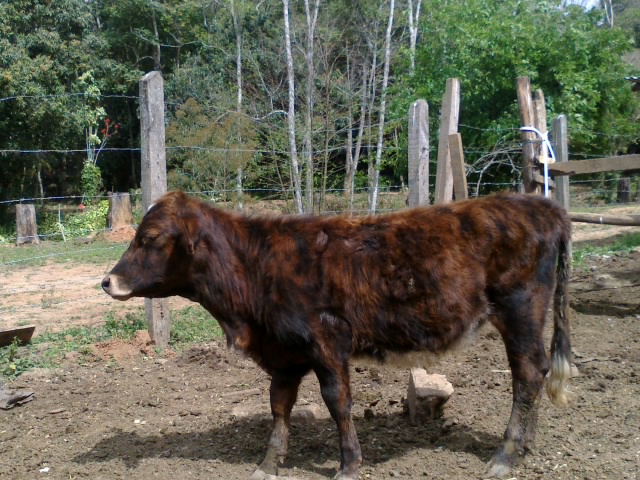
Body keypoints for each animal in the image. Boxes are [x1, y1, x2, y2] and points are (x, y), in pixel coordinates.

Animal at [102, 191, 573, 479]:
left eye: (150, 237)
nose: (107, 280)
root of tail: (540, 205)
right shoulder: (285, 355)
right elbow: (279, 407)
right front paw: (269, 463)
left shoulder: (327, 342)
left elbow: (338, 402)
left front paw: (348, 464)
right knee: (536, 373)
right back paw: (525, 446)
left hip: (520, 308)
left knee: (527, 374)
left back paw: (505, 455)